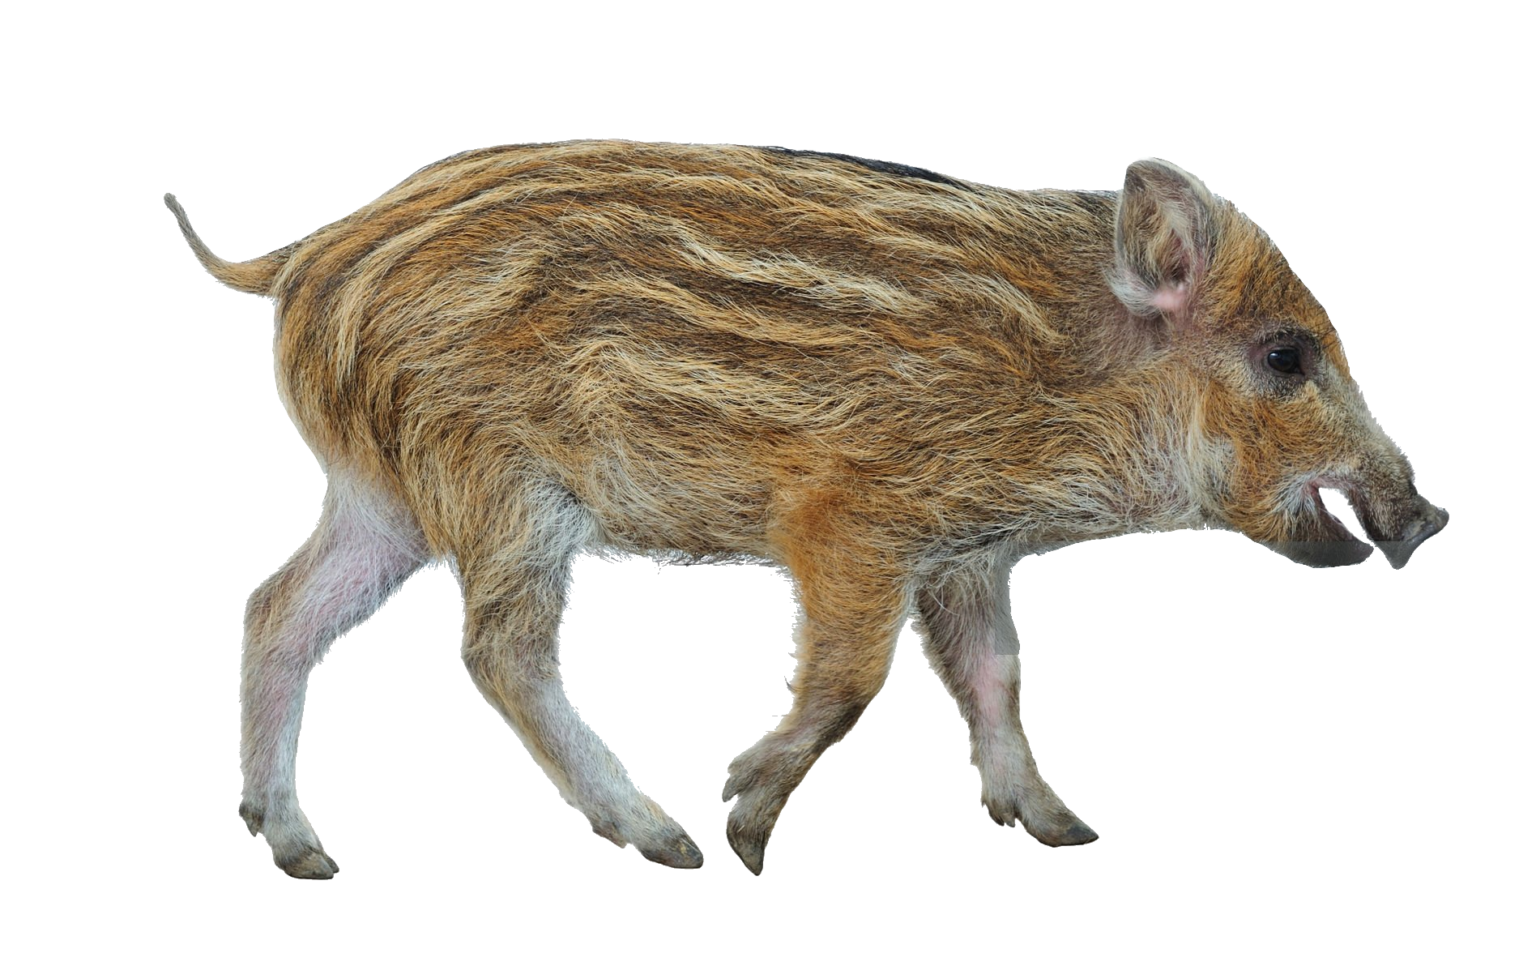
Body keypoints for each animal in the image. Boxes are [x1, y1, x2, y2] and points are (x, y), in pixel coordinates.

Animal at [165, 142, 1447, 879]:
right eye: (1284, 357)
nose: (1428, 515)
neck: (1056, 376)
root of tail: (298, 259)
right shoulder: (850, 521)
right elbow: (849, 683)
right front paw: (744, 826)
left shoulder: (966, 556)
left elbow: (994, 676)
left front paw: (1062, 831)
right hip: (497, 487)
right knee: (499, 652)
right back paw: (669, 843)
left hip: (383, 498)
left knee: (277, 610)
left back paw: (299, 853)